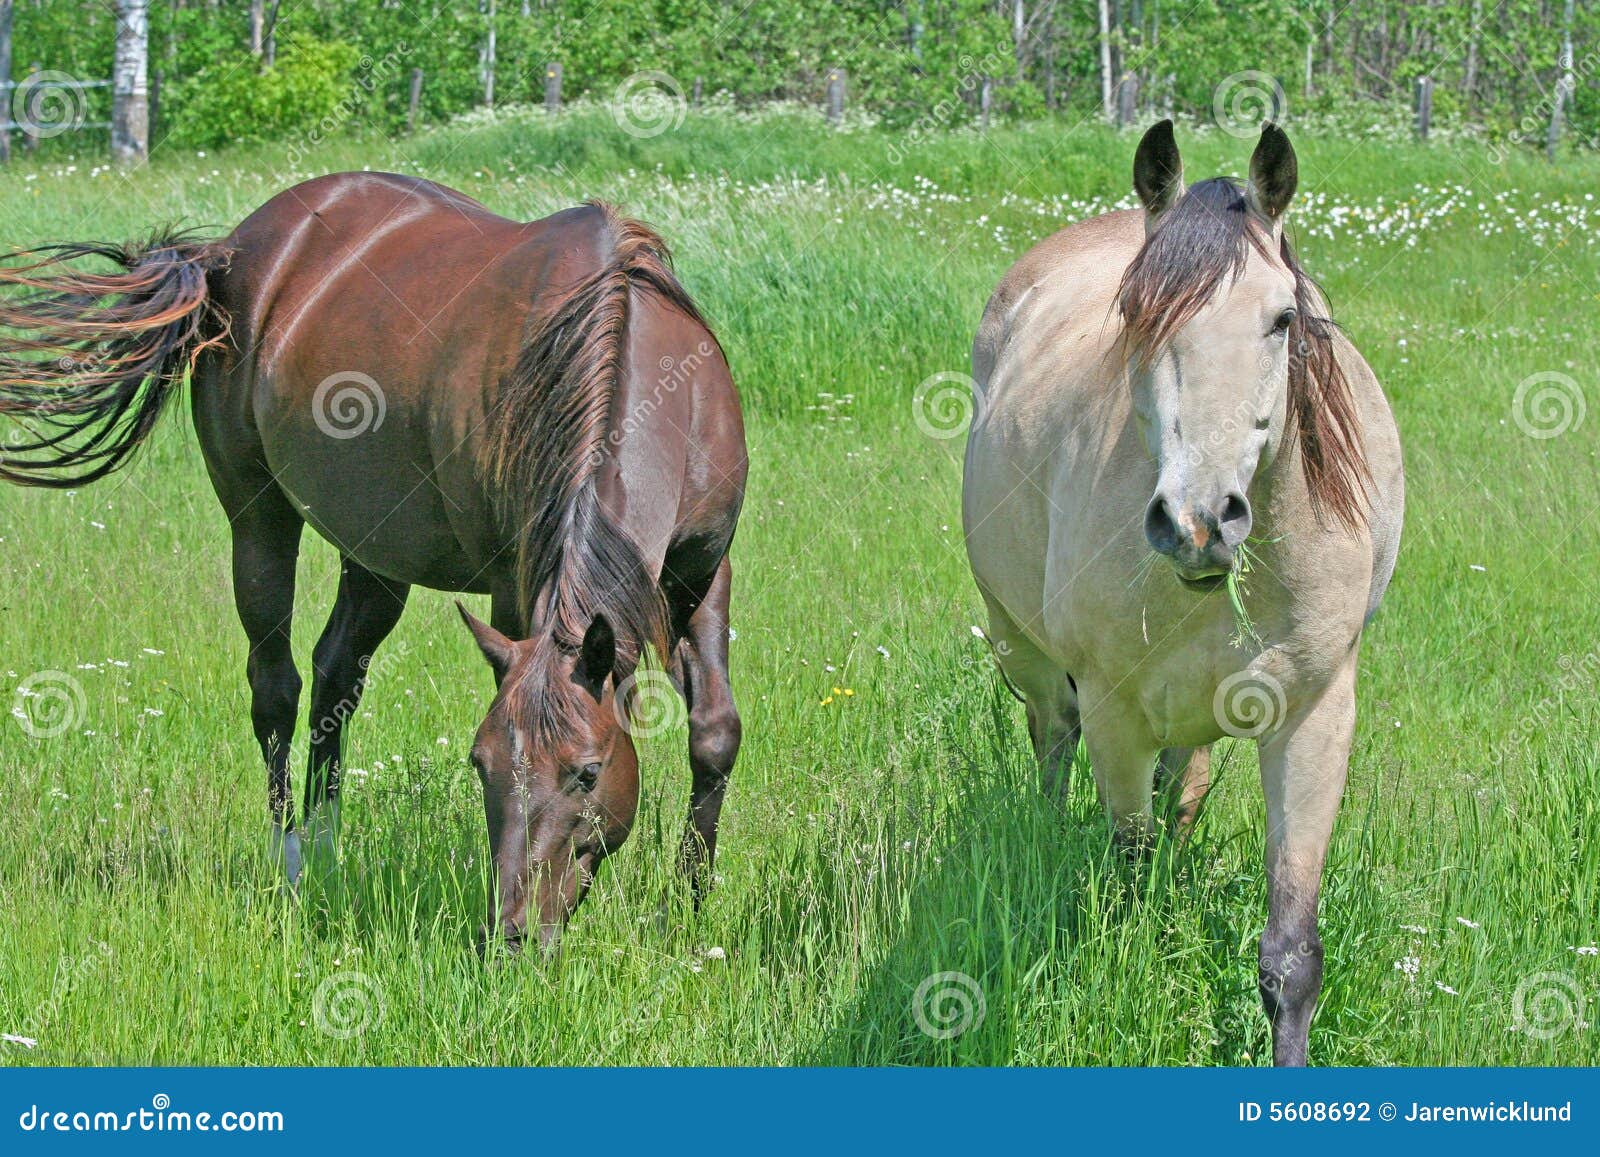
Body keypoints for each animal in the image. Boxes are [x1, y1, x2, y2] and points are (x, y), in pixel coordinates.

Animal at [0, 173, 747, 953]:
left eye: (588, 772)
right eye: (481, 764)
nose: (512, 934)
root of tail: (228, 251)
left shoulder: (701, 574)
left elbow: (714, 733)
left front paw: (688, 904)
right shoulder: (515, 586)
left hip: (377, 552)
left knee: (336, 675)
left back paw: (330, 852)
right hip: (257, 518)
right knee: (277, 688)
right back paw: (294, 861)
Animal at [961, 122, 1404, 1065]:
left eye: (1282, 319)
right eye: (1136, 316)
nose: (1199, 521)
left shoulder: (1313, 714)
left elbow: (1291, 954)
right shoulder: (1115, 712)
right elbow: (1127, 883)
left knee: (1185, 786)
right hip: (1024, 647)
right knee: (1051, 744)